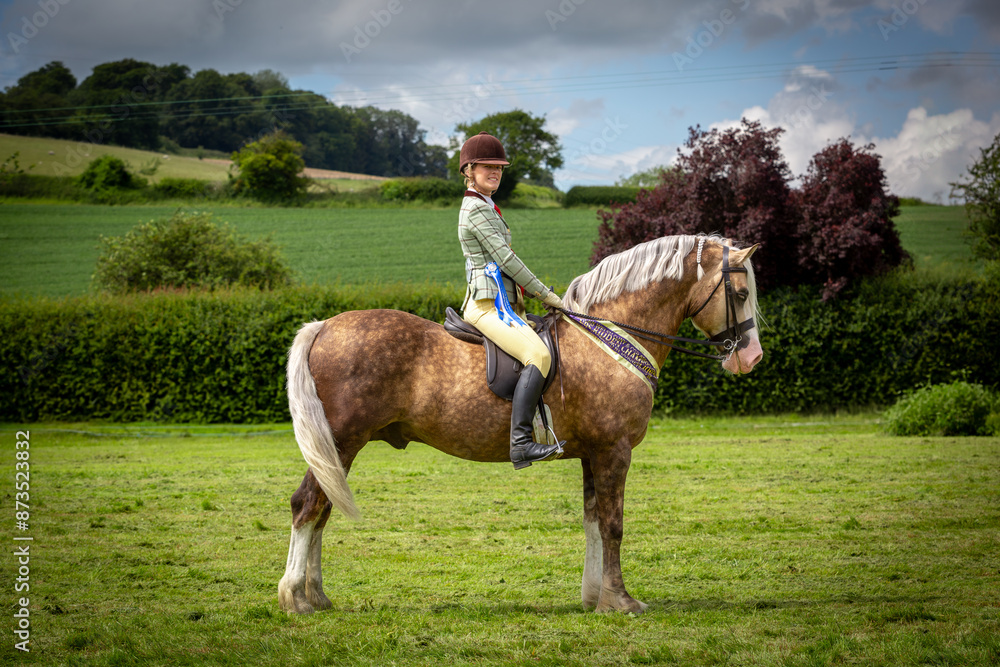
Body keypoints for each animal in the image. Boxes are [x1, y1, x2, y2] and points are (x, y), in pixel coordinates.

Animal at [278, 234, 763, 615]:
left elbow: (591, 521)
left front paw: (594, 598)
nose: (751, 357)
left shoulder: (592, 453)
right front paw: (621, 601)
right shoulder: (614, 450)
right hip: (342, 441)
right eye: (740, 295)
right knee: (307, 505)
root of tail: (324, 326)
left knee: (321, 509)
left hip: (339, 448)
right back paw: (295, 598)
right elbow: (613, 524)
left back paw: (317, 596)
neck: (611, 335)